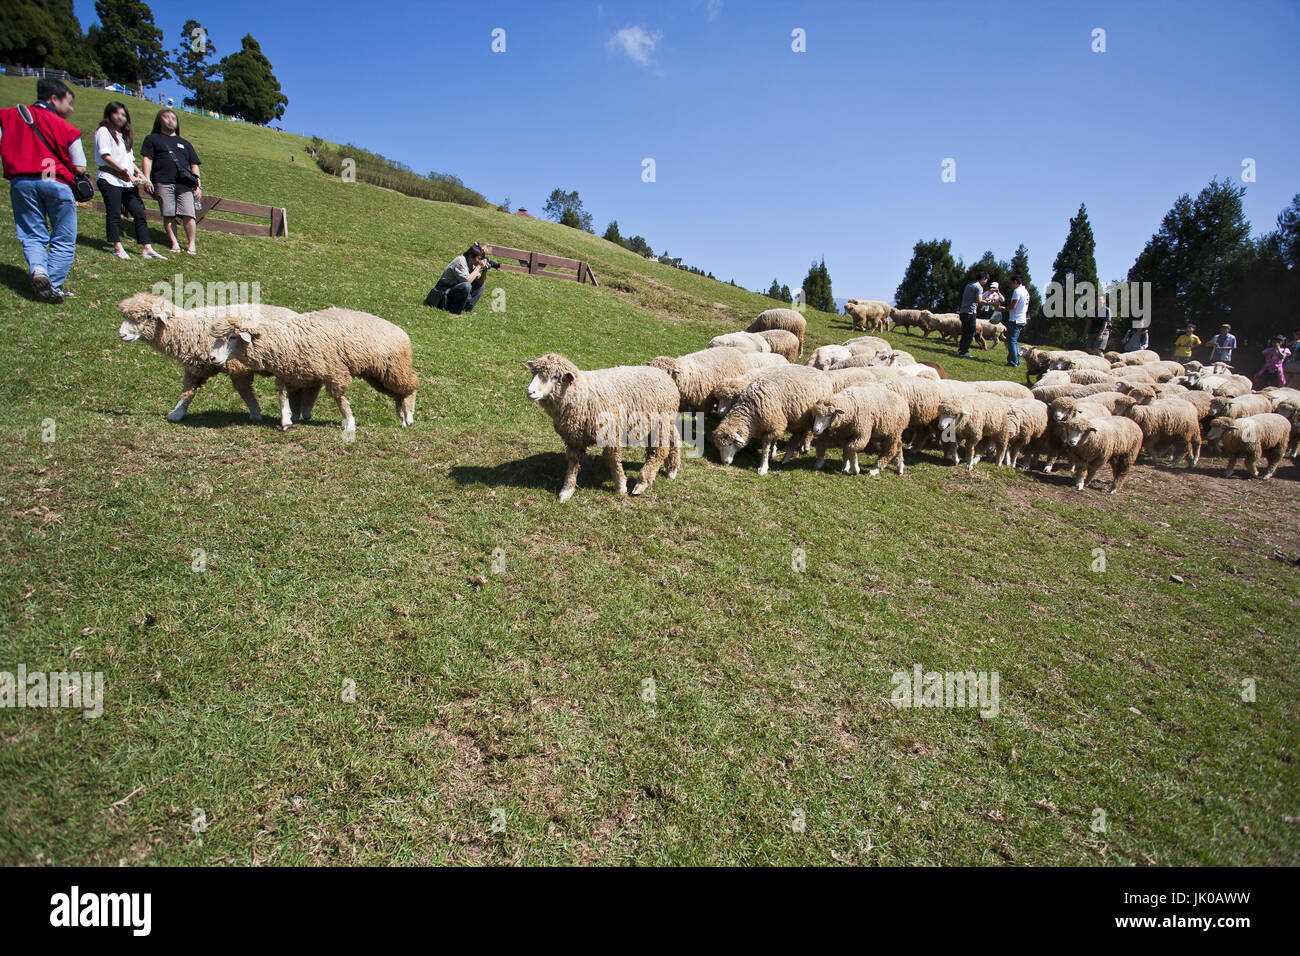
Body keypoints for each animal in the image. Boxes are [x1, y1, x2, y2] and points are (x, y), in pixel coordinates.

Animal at [117, 291, 301, 423]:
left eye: (147, 317)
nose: (122, 335)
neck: (189, 327)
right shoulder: (195, 368)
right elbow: (187, 391)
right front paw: (177, 413)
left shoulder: (238, 368)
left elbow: (245, 392)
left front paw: (255, 414)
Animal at [209, 307, 419, 436]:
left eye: (232, 337)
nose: (212, 357)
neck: (285, 342)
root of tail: (403, 333)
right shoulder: (292, 373)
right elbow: (283, 395)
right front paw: (286, 419)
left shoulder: (334, 370)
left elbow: (340, 399)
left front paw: (349, 422)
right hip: (379, 374)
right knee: (399, 394)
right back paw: (402, 417)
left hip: (393, 369)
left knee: (412, 386)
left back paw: (409, 416)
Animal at [522, 353, 681, 501]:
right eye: (534, 373)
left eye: (555, 377)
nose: (530, 392)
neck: (582, 395)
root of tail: (663, 373)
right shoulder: (574, 439)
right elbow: (573, 463)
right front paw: (566, 490)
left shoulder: (609, 434)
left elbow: (612, 459)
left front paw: (621, 486)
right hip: (659, 422)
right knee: (673, 438)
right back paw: (672, 470)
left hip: (661, 422)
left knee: (660, 450)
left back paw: (642, 483)